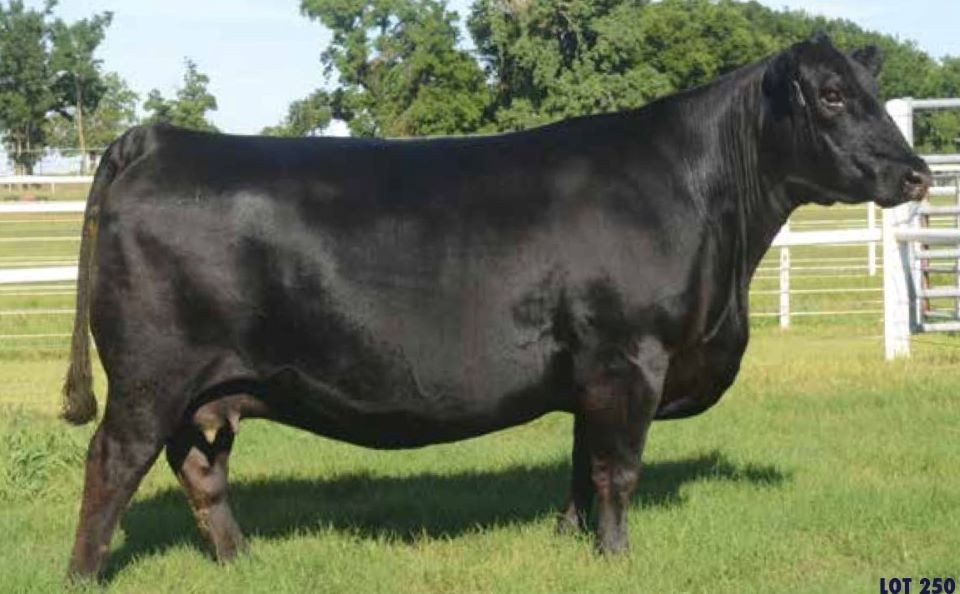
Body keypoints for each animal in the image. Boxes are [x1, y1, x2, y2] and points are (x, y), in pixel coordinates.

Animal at [61, 35, 930, 580]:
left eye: (874, 93)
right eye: (830, 95)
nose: (919, 173)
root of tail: (160, 138)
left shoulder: (591, 373)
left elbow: (581, 467)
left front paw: (573, 545)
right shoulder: (629, 355)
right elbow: (618, 468)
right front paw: (619, 559)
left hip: (204, 388)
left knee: (200, 468)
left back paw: (244, 563)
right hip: (151, 376)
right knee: (113, 463)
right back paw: (83, 575)